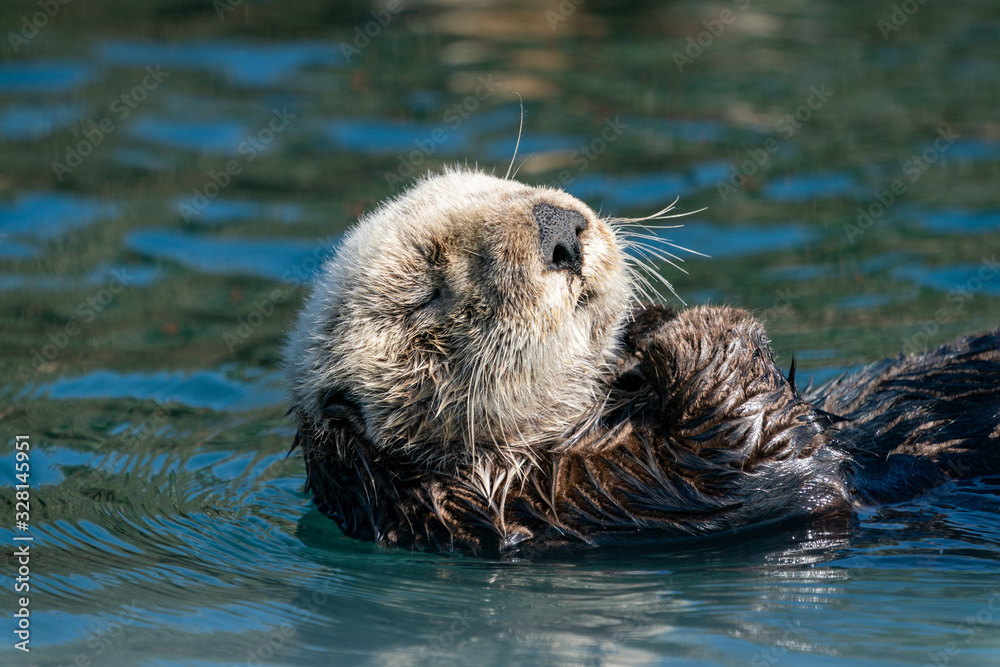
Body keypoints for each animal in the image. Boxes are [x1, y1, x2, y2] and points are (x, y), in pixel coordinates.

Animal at [284, 167, 1000, 556]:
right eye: (426, 292)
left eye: (510, 184)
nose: (559, 229)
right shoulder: (597, 498)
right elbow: (772, 454)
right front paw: (678, 326)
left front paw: (643, 327)